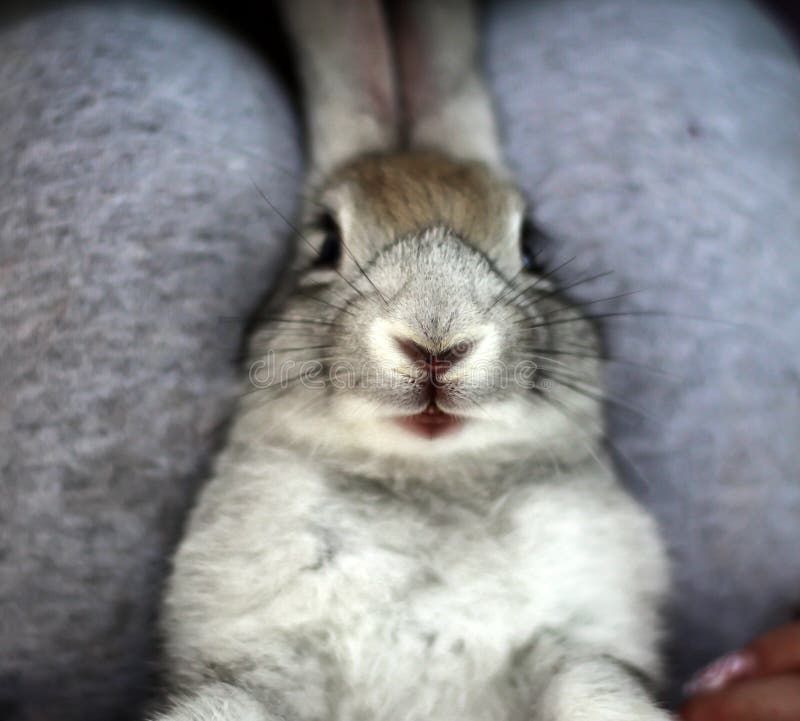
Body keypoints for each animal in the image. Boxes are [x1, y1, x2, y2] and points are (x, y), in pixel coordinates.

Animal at [152, 1, 671, 720]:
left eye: (533, 248)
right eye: (324, 243)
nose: (436, 342)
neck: (428, 476)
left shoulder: (579, 640)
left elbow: (594, 686)